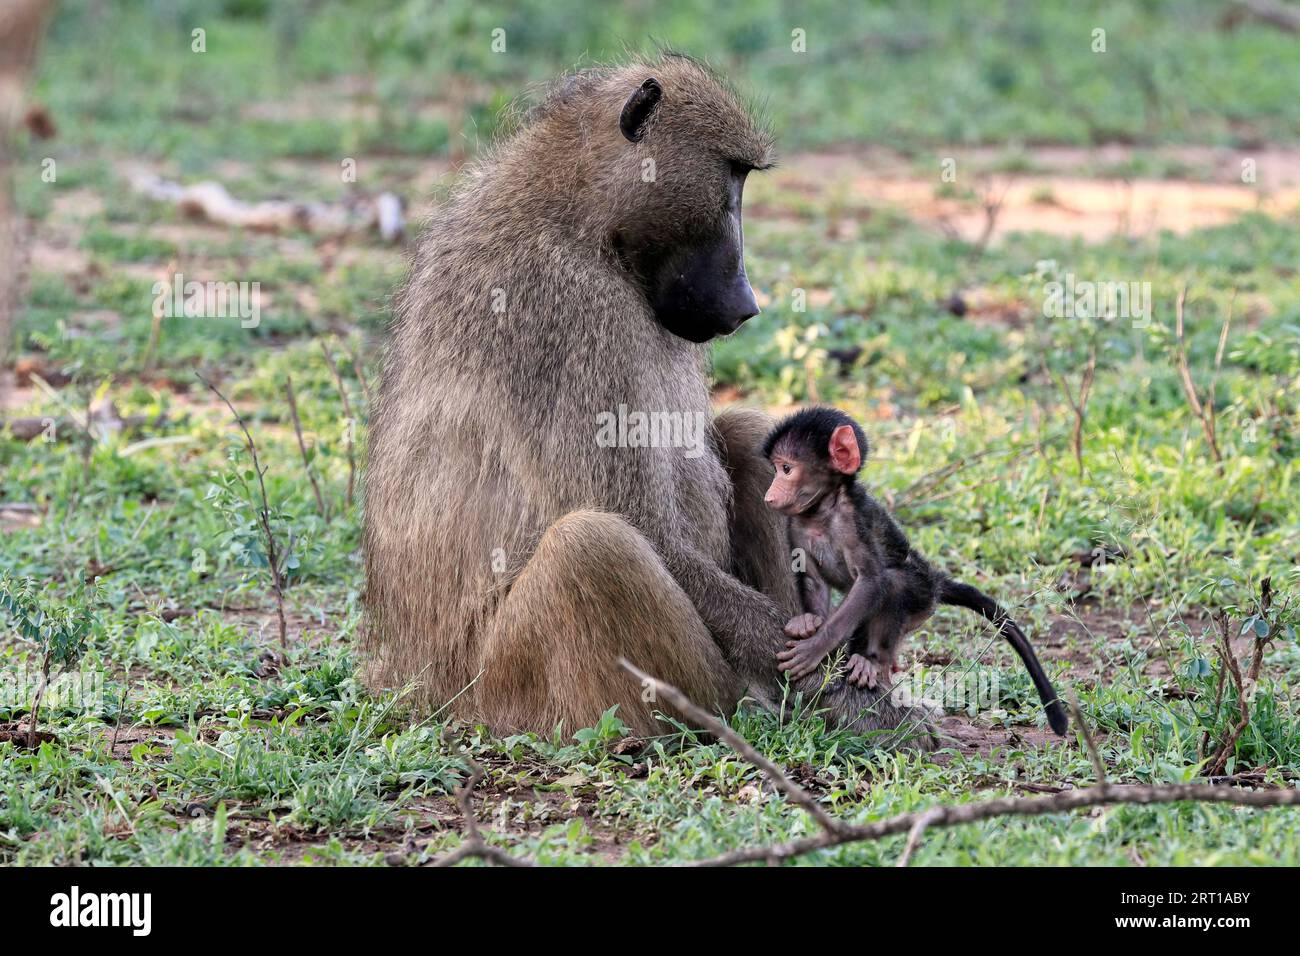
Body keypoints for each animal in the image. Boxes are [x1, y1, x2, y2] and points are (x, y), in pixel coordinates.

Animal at [363, 54, 938, 748]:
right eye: (732, 175)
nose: (748, 302)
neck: (578, 217)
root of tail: (407, 682)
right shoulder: (561, 309)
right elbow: (643, 526)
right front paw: (857, 701)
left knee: (743, 436)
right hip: (502, 688)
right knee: (591, 546)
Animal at [762, 406, 1069, 736]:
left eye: (786, 469)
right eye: (777, 468)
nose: (769, 496)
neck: (822, 512)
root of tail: (934, 578)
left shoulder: (854, 520)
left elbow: (872, 581)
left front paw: (814, 648)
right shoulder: (795, 523)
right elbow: (813, 580)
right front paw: (809, 622)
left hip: (921, 599)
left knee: (894, 583)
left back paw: (874, 662)